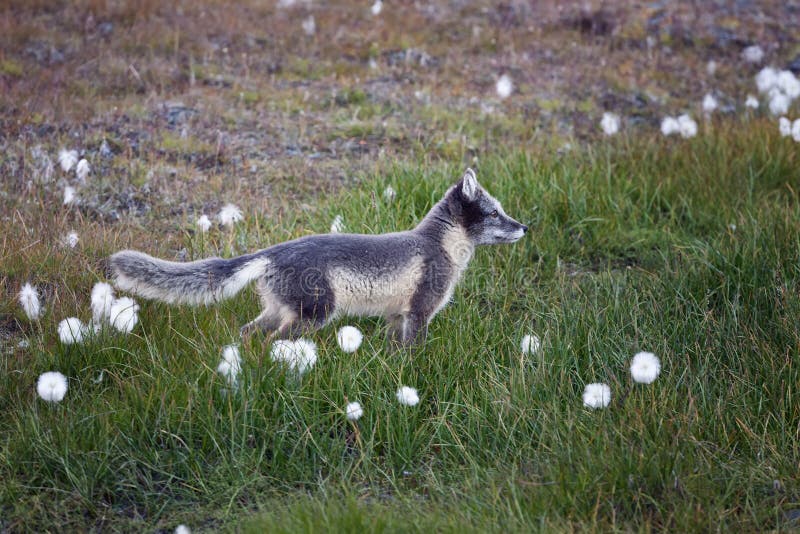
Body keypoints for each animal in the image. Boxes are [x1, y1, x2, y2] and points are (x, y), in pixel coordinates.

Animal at [109, 168, 528, 345]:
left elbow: (393, 349)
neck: (442, 248)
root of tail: (272, 251)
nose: (524, 227)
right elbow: (414, 351)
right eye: (495, 213)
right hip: (315, 313)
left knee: (248, 332)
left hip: (279, 309)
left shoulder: (397, 315)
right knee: (274, 340)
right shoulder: (420, 311)